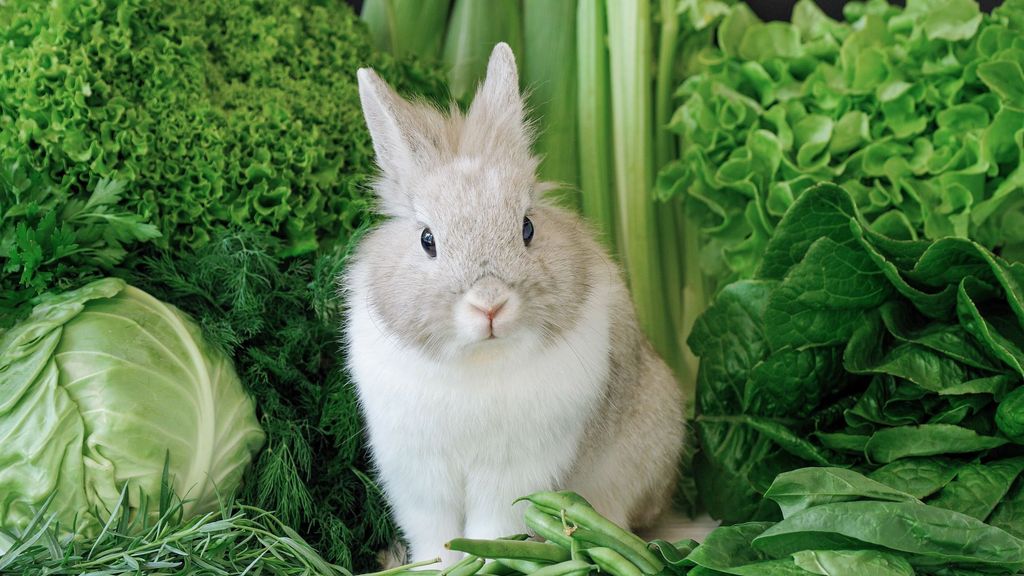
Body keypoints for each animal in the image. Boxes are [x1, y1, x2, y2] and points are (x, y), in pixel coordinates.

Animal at [342, 42, 684, 567]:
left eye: (527, 227)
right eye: (427, 240)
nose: (489, 305)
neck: (478, 361)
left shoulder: (514, 472)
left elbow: (490, 529)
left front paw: (482, 563)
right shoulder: (418, 474)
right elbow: (435, 536)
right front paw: (436, 567)